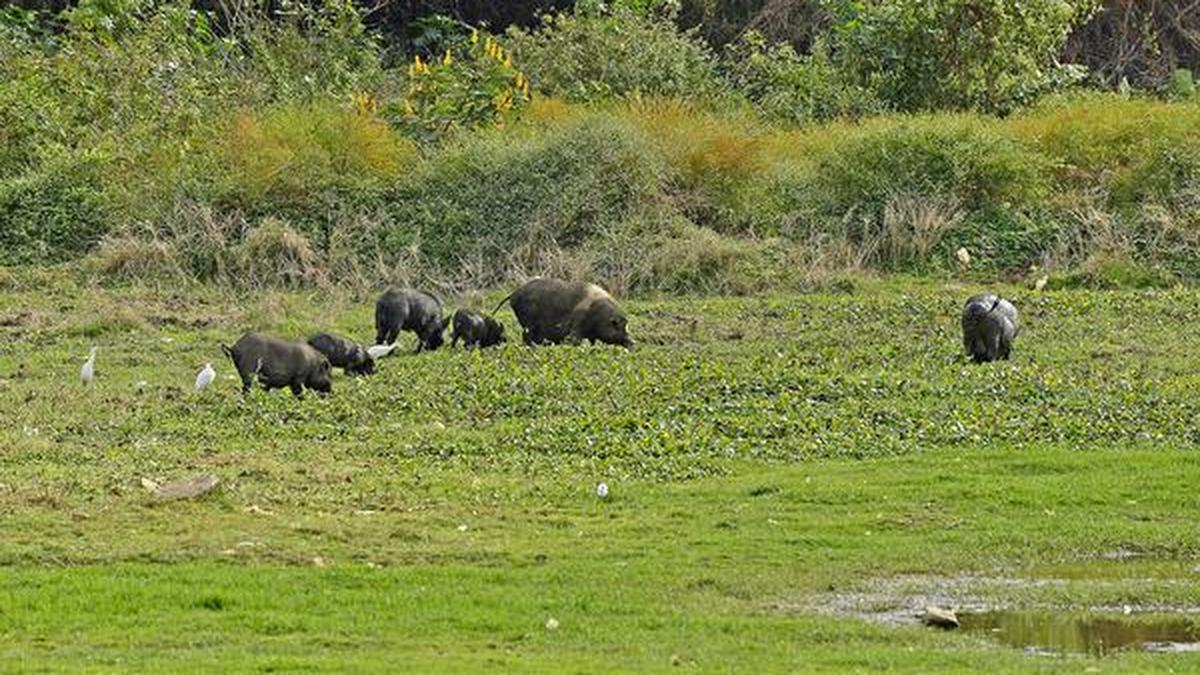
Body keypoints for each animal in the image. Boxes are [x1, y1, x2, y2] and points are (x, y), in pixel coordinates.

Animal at [496, 278, 633, 348]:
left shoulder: (591, 335)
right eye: (618, 326)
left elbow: (592, 343)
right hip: (528, 322)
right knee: (526, 336)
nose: (632, 342)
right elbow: (574, 339)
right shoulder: (578, 323)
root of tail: (514, 294)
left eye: (626, 324)